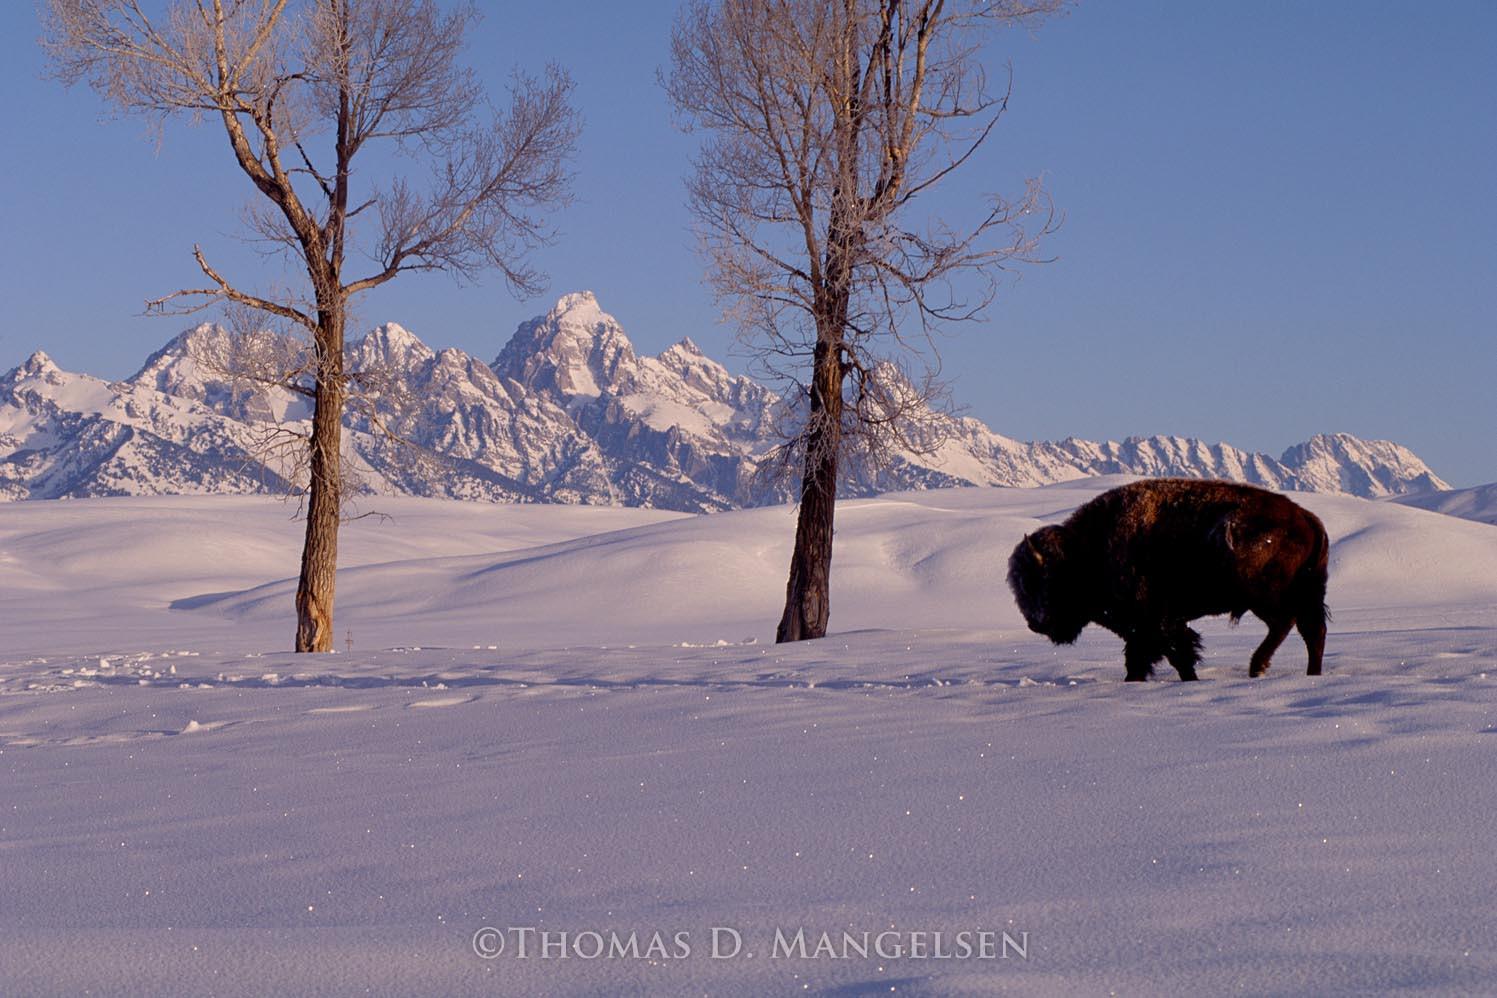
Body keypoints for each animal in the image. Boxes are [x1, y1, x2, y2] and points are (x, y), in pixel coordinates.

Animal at [1007, 479, 1329, 681]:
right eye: (1018, 586)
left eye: (1041, 580)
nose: (1036, 623)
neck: (1085, 550)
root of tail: (1306, 517)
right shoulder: (1157, 626)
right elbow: (1178, 656)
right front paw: (1190, 679)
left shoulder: (1150, 624)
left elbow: (1151, 656)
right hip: (1302, 594)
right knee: (1311, 631)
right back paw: (1310, 674)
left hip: (1262, 596)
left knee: (1286, 623)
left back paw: (1257, 667)